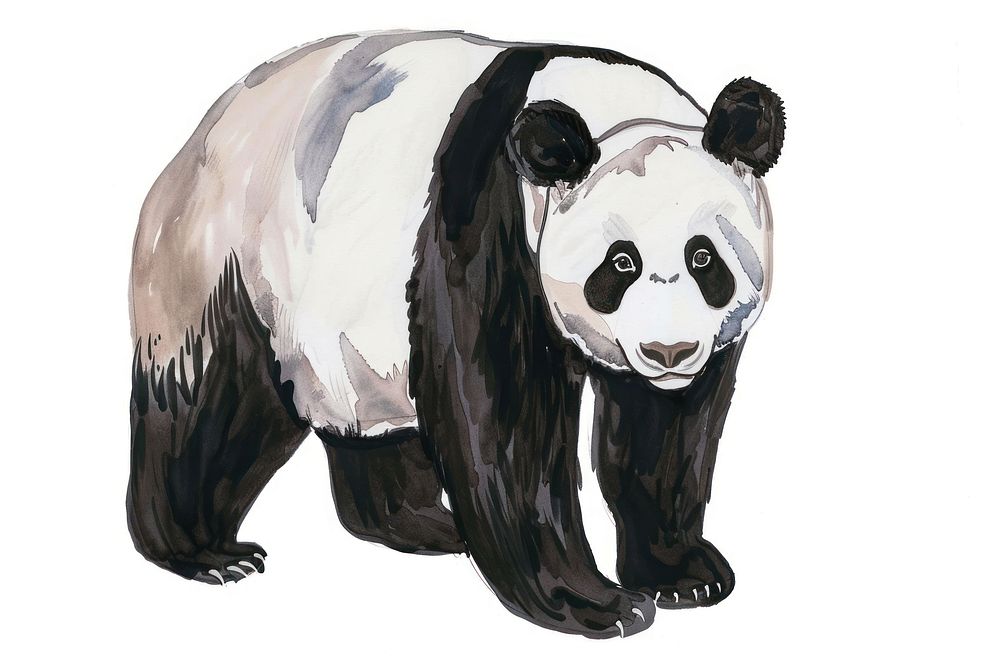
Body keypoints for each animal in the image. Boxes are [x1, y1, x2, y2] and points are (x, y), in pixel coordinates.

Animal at [127, 30, 785, 639]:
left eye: (704, 258)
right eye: (620, 263)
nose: (668, 351)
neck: (611, 111)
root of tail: (196, 140)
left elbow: (665, 431)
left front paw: (684, 576)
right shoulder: (483, 225)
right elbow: (504, 419)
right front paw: (595, 605)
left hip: (345, 322)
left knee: (366, 412)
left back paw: (420, 522)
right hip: (227, 261)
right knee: (212, 405)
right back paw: (207, 554)